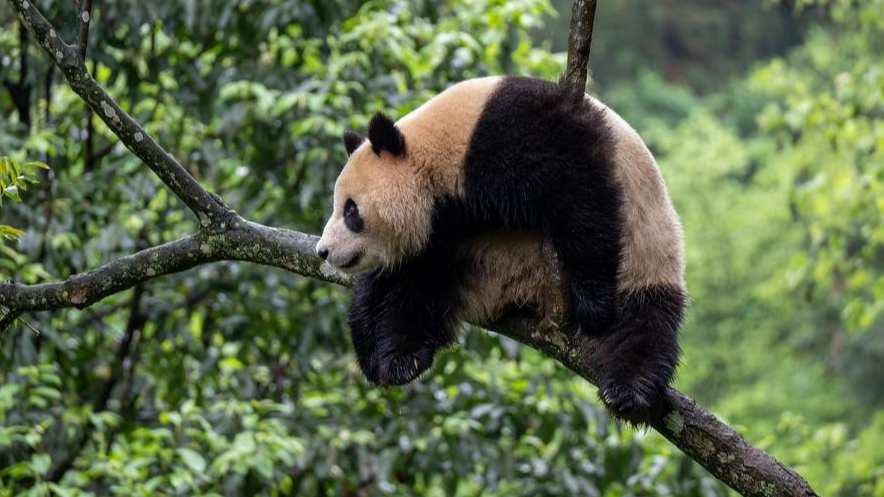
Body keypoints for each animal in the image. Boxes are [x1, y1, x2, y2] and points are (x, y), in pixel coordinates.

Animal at [316, 75, 687, 418]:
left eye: (350, 211)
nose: (324, 251)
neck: (439, 151)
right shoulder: (446, 224)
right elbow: (392, 276)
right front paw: (370, 348)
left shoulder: (520, 133)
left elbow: (580, 195)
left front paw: (593, 304)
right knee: (421, 292)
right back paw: (402, 358)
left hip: (646, 258)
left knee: (643, 326)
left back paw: (627, 391)